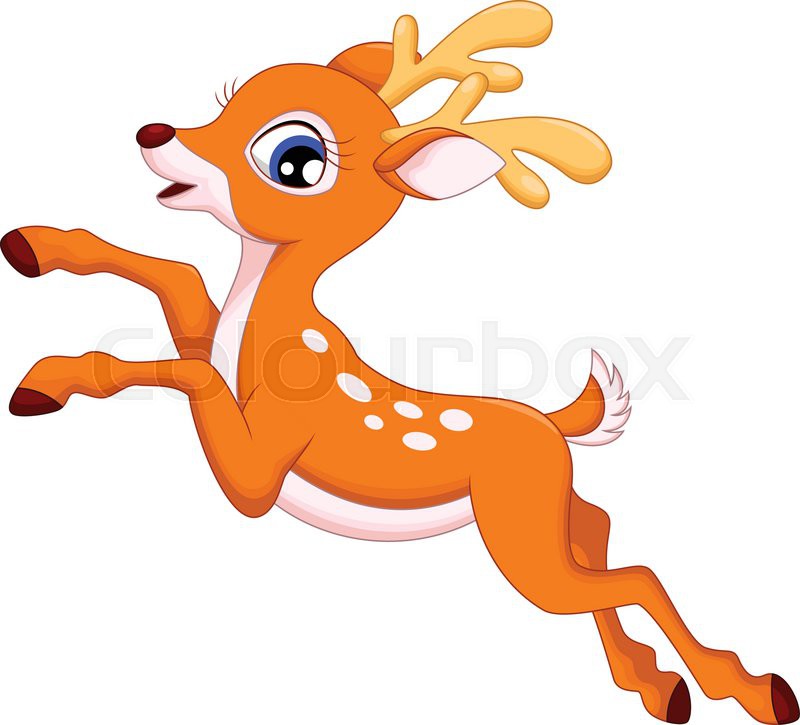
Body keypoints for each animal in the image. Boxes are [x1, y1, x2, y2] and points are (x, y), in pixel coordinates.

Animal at [1, 3, 796, 723]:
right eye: (225, 101)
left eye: (295, 161)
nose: (153, 133)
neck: (270, 328)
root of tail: (550, 422)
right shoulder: (213, 337)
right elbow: (178, 278)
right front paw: (34, 248)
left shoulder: (259, 475)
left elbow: (187, 367)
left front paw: (44, 381)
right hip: (548, 513)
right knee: (600, 530)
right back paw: (659, 685)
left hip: (518, 534)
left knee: (635, 574)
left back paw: (754, 691)